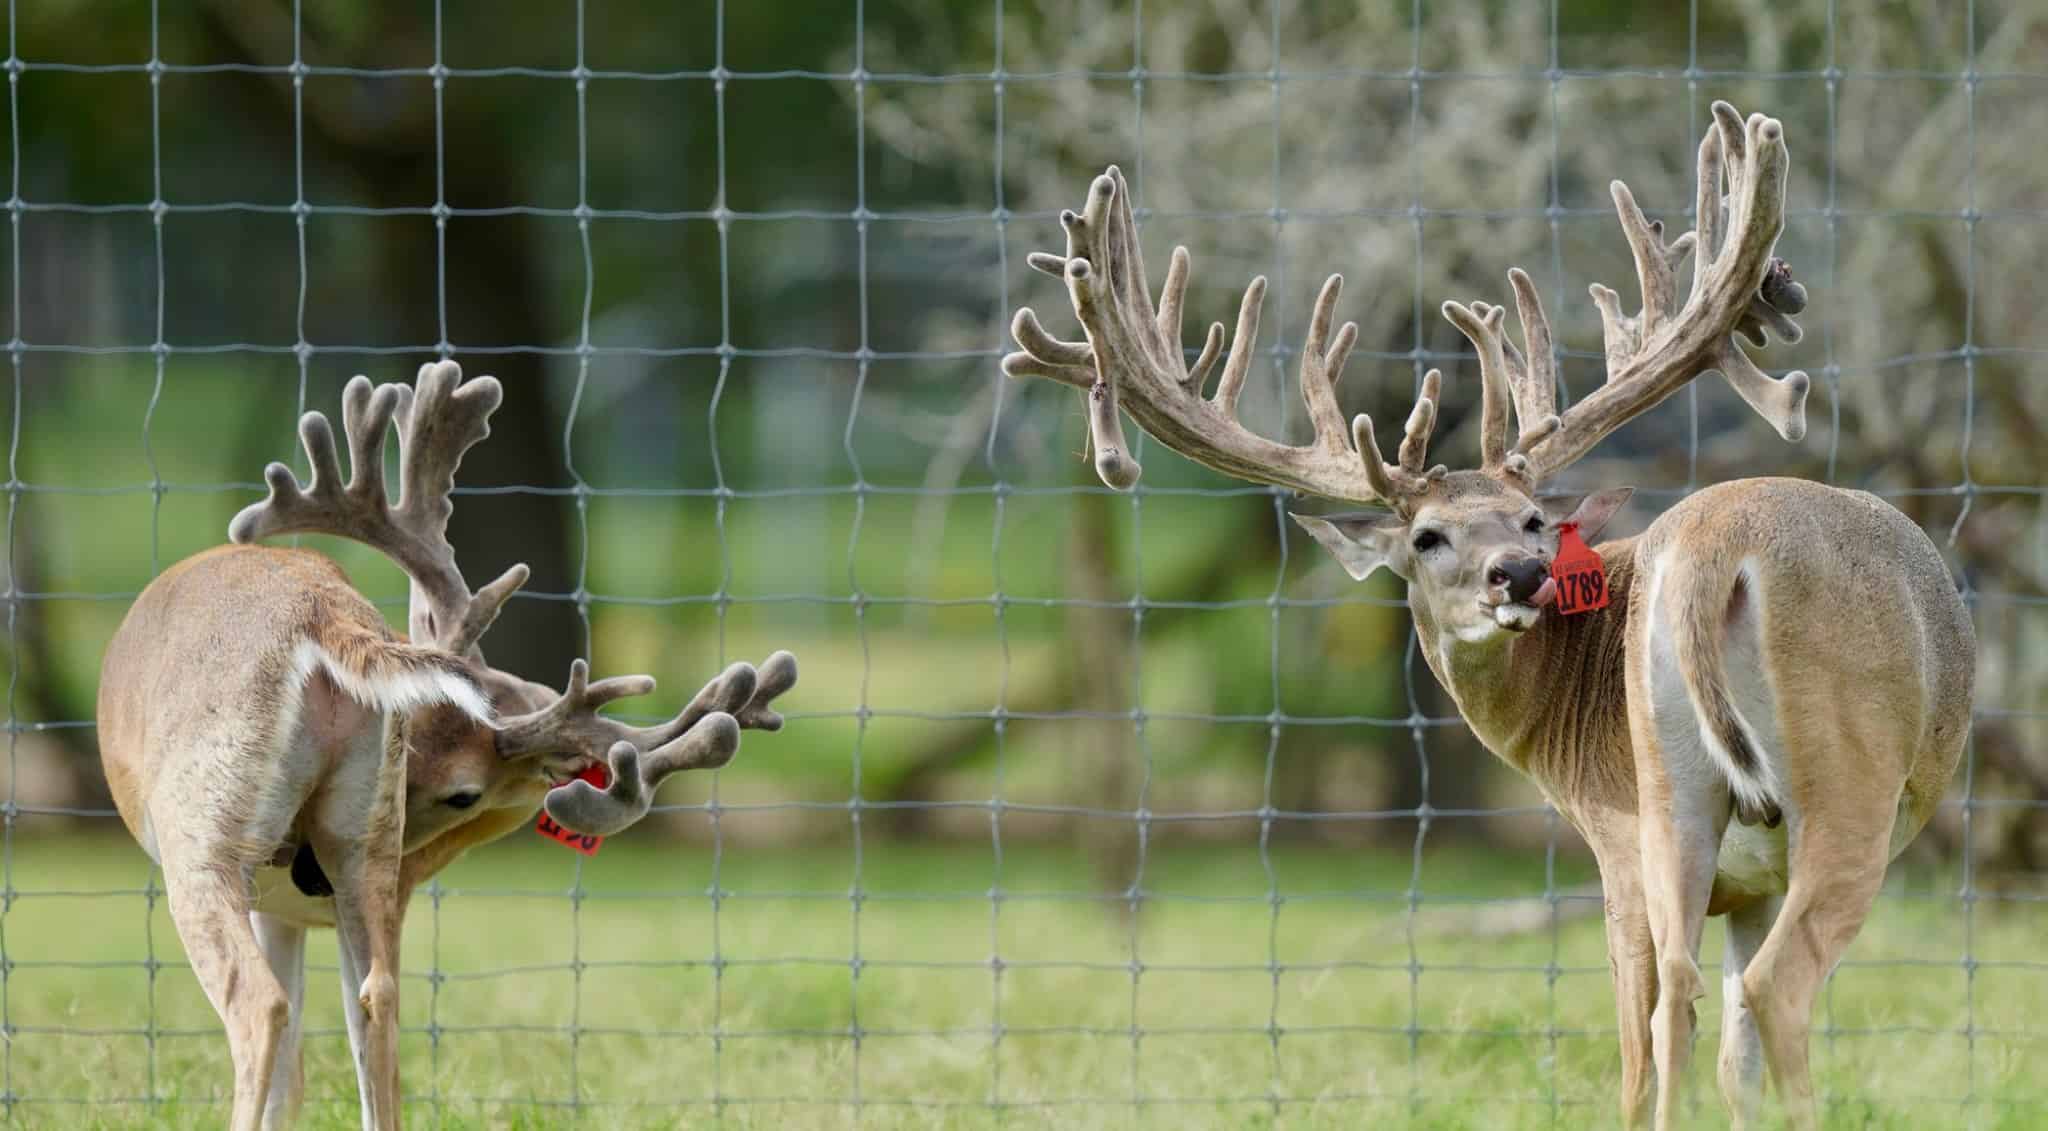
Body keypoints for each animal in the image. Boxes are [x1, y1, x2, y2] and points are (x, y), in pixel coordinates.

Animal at [96, 360, 798, 1131]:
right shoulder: (304, 901)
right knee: (378, 1000)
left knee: (261, 1006)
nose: (306, 872)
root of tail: (323, 616)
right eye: (415, 735)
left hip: (205, 831)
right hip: (360, 848)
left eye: (464, 793)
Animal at [1003, 102, 1974, 1130]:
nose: (1520, 573)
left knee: (1690, 1003)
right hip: (1824, 778)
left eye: (1534, 518)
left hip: (1703, 795)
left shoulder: (1704, 862)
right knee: (1760, 992)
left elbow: (1716, 1056)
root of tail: (1716, 548)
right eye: (1427, 535)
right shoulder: (1633, 835)